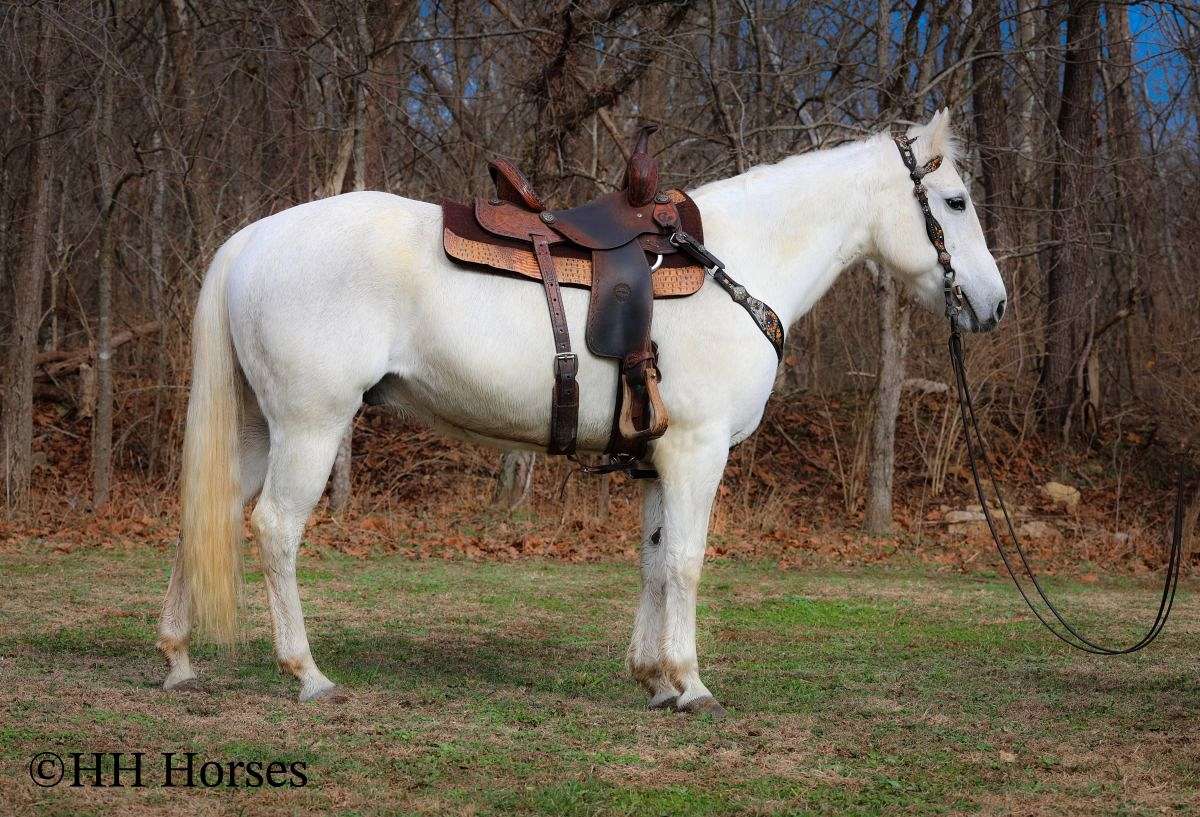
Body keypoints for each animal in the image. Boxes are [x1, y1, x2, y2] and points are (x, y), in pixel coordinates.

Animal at [157, 109, 1006, 716]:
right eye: (955, 201)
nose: (994, 305)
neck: (736, 264)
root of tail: (253, 240)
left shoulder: (661, 458)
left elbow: (655, 561)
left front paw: (656, 679)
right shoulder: (697, 452)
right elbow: (687, 561)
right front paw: (692, 683)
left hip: (258, 429)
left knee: (207, 514)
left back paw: (178, 658)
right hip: (310, 425)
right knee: (275, 528)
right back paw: (307, 673)